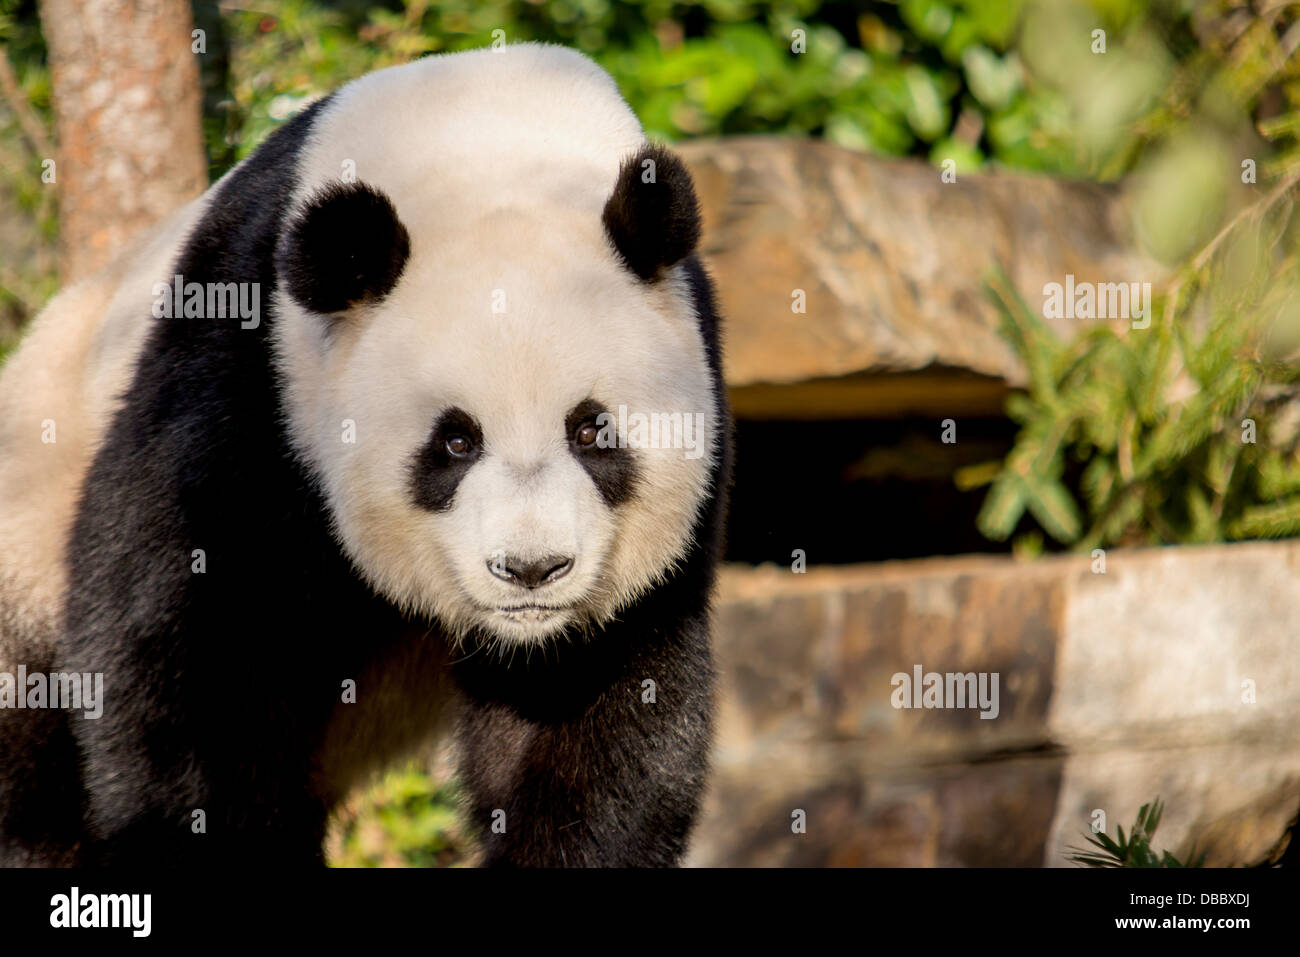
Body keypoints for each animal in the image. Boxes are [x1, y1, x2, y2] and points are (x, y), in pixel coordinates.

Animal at [0, 43, 731, 867]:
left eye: (590, 431)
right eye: (455, 440)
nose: (531, 570)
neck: (483, 128)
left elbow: (591, 712)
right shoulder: (247, 382)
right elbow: (193, 672)